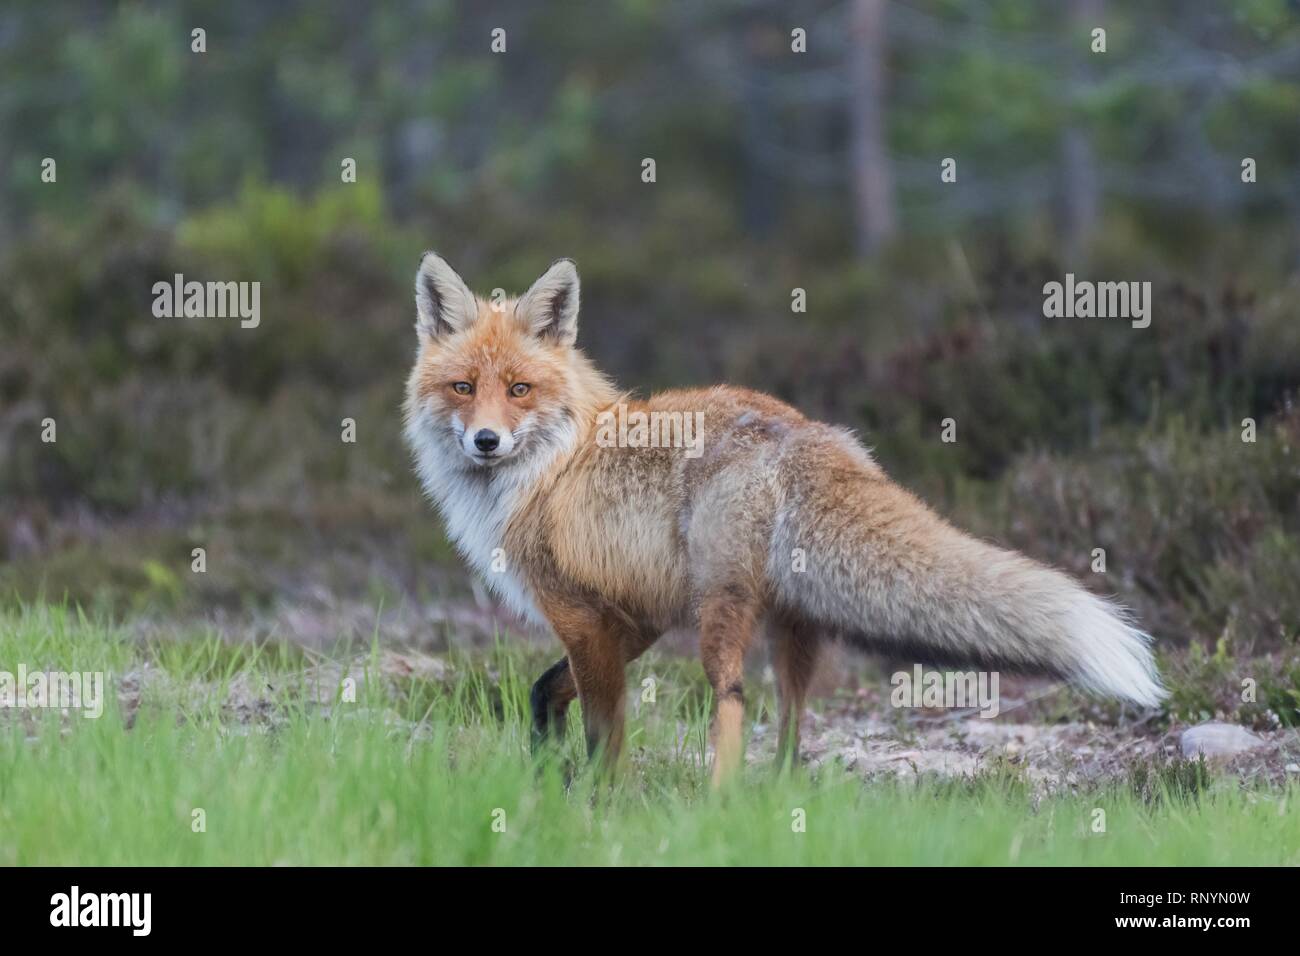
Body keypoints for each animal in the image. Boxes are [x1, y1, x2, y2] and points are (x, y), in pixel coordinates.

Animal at [403, 253, 1165, 785]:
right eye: (463, 387)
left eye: (520, 389)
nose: (485, 442)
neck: (552, 465)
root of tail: (806, 433)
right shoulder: (634, 619)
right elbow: (544, 692)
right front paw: (544, 767)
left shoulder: (585, 617)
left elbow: (604, 737)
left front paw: (596, 801)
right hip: (794, 623)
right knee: (796, 721)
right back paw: (777, 804)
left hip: (722, 612)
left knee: (734, 700)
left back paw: (721, 809)